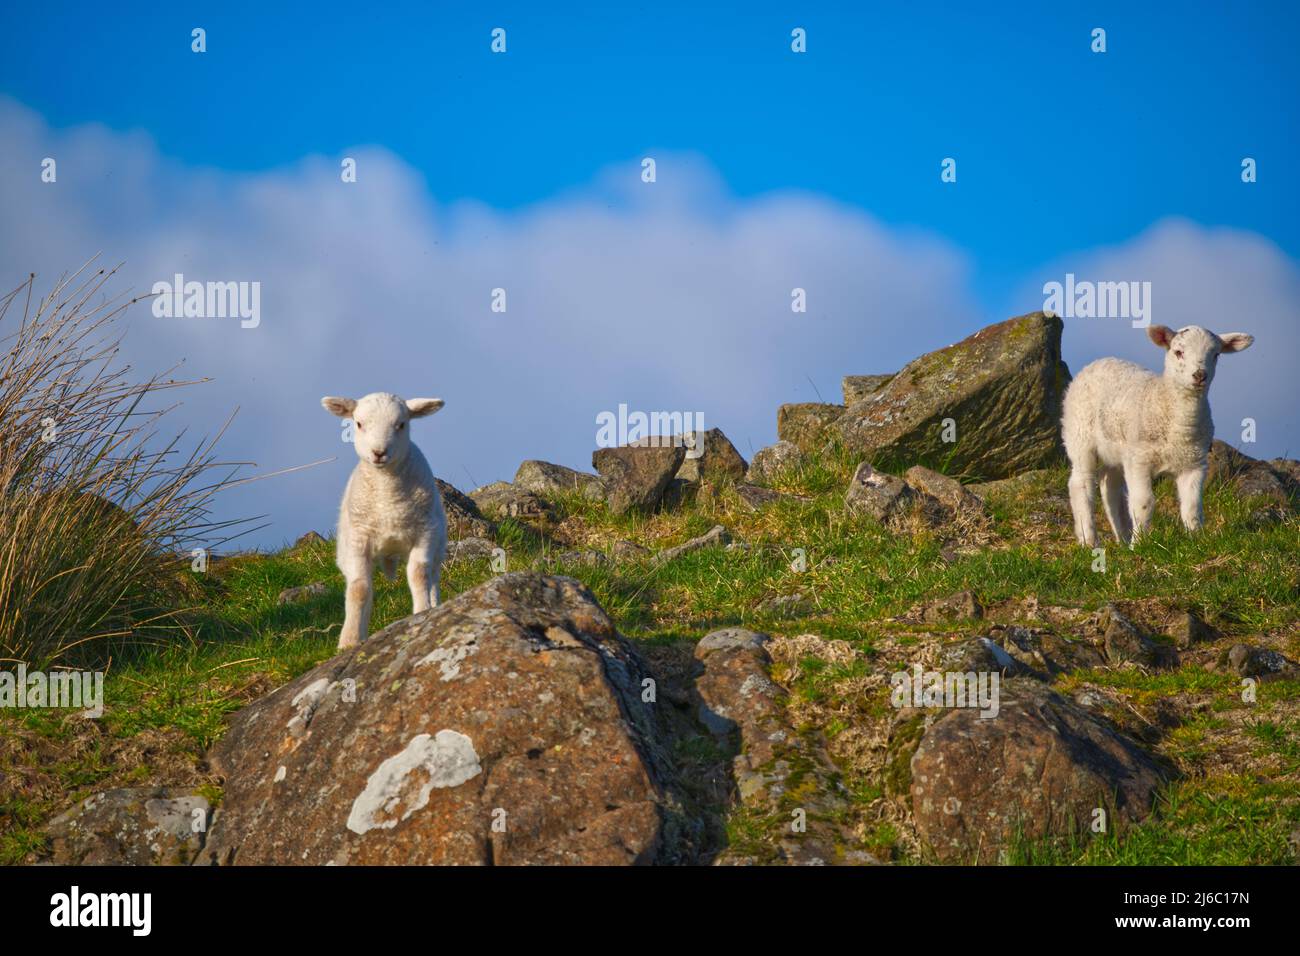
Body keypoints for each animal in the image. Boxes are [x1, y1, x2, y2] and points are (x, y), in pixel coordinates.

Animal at [321, 392, 448, 650]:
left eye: (402, 424)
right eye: (359, 424)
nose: (379, 452)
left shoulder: (425, 533)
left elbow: (418, 574)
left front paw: (422, 612)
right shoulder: (359, 540)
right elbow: (359, 589)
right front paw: (349, 640)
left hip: (438, 543)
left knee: (432, 577)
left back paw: (434, 604)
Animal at [1062, 325, 1253, 548]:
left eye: (1216, 355)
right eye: (1178, 352)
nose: (1200, 375)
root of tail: (1098, 362)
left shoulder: (1194, 464)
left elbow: (1192, 506)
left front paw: (1196, 540)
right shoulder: (1139, 460)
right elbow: (1143, 503)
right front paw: (1140, 544)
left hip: (1115, 448)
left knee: (1109, 485)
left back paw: (1122, 537)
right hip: (1079, 433)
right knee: (1080, 483)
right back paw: (1089, 540)